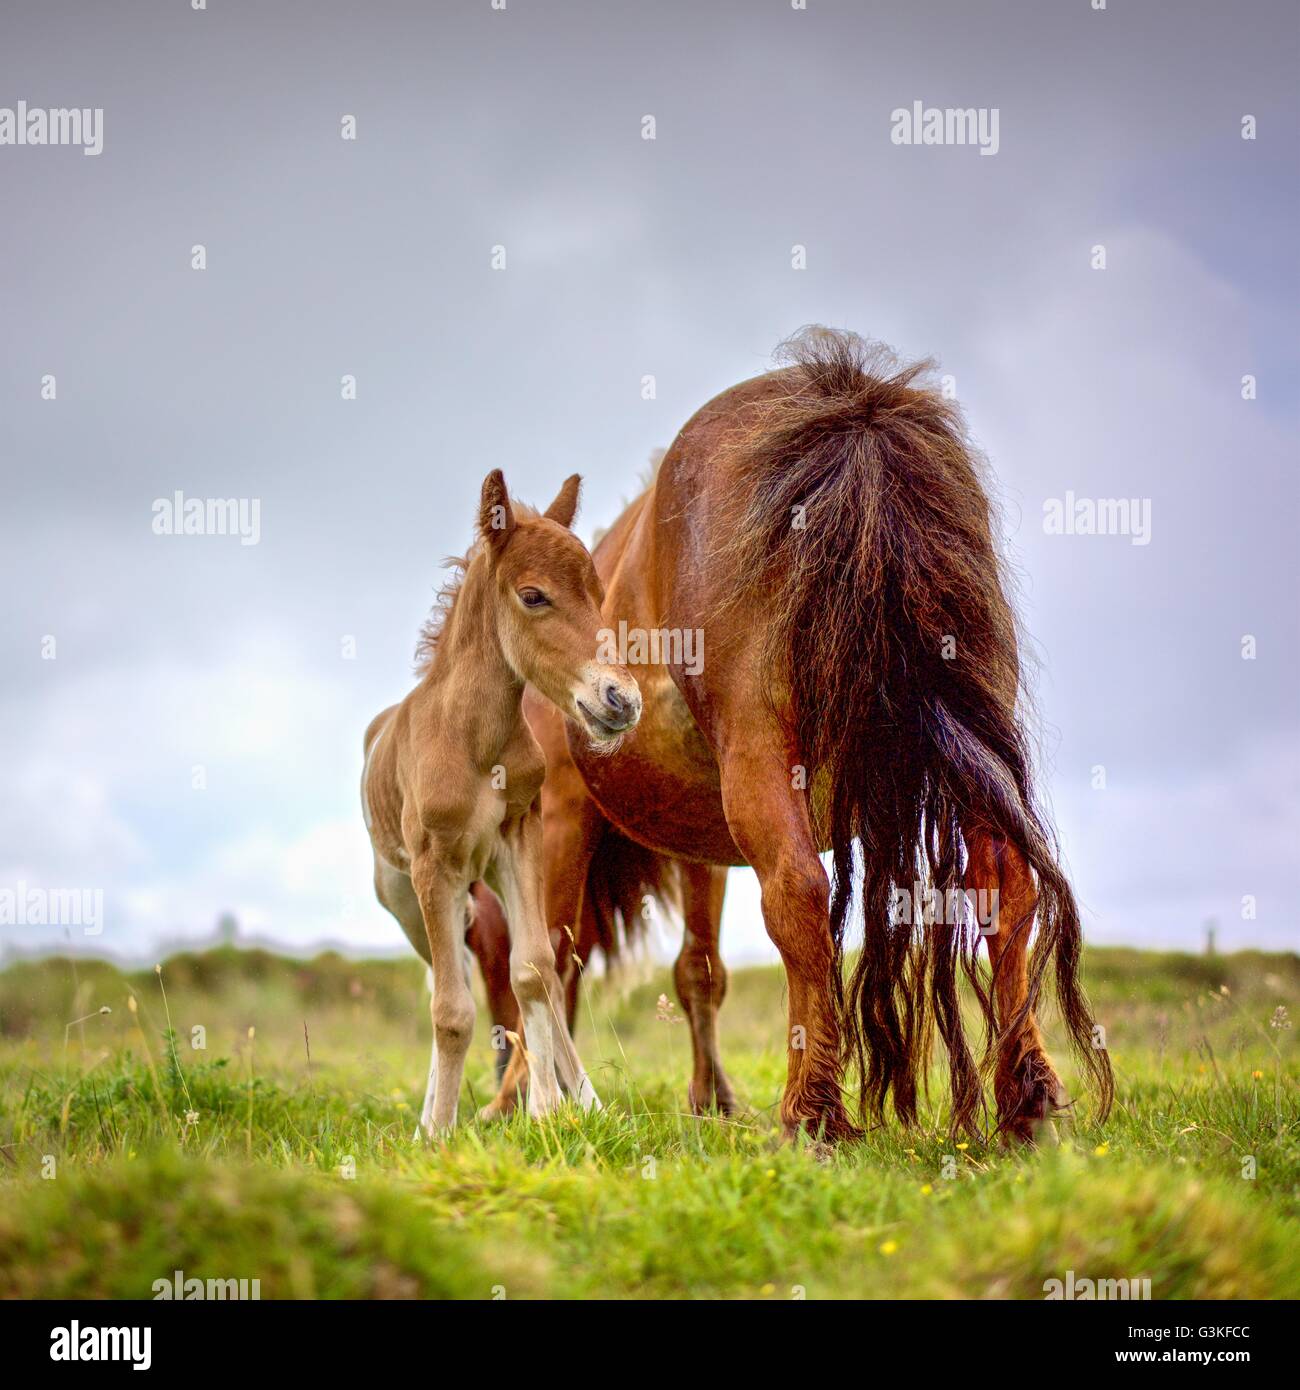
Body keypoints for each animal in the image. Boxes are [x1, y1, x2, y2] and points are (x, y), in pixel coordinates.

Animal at [361, 469, 642, 1133]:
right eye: (533, 596)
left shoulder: (520, 837)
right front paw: (439, 1131)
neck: (473, 739)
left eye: (597, 592)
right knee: (446, 978)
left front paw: (548, 1110)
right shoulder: (435, 866)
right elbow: (452, 1010)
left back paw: (582, 1102)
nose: (622, 699)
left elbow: (534, 971)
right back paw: (428, 1118)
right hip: (407, 899)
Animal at [481, 328, 1113, 1143]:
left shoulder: (560, 809)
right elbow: (696, 969)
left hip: (759, 752)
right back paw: (1025, 1100)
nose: (497, 1057)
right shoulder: (701, 845)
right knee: (1005, 884)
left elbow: (551, 957)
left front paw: (525, 1095)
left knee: (797, 893)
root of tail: (849, 409)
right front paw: (710, 1098)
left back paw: (810, 1112)